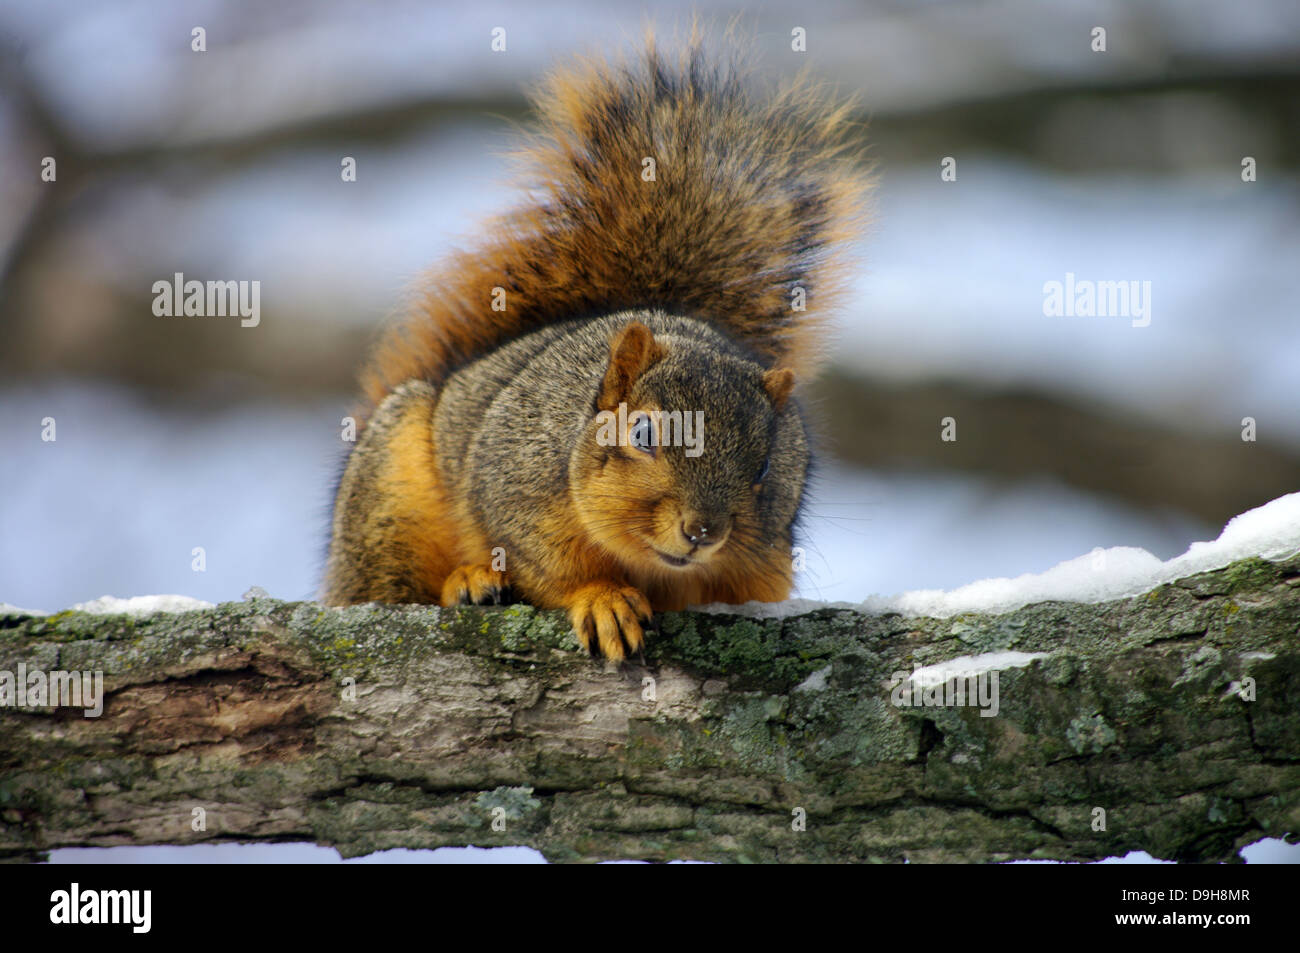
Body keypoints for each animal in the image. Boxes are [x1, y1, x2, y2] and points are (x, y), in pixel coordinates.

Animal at [323, 34, 868, 660]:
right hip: (389, 498)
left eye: (765, 466)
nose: (702, 531)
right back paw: (470, 583)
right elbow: (552, 571)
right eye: (643, 433)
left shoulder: (764, 559)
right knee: (385, 588)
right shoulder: (516, 494)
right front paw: (604, 599)